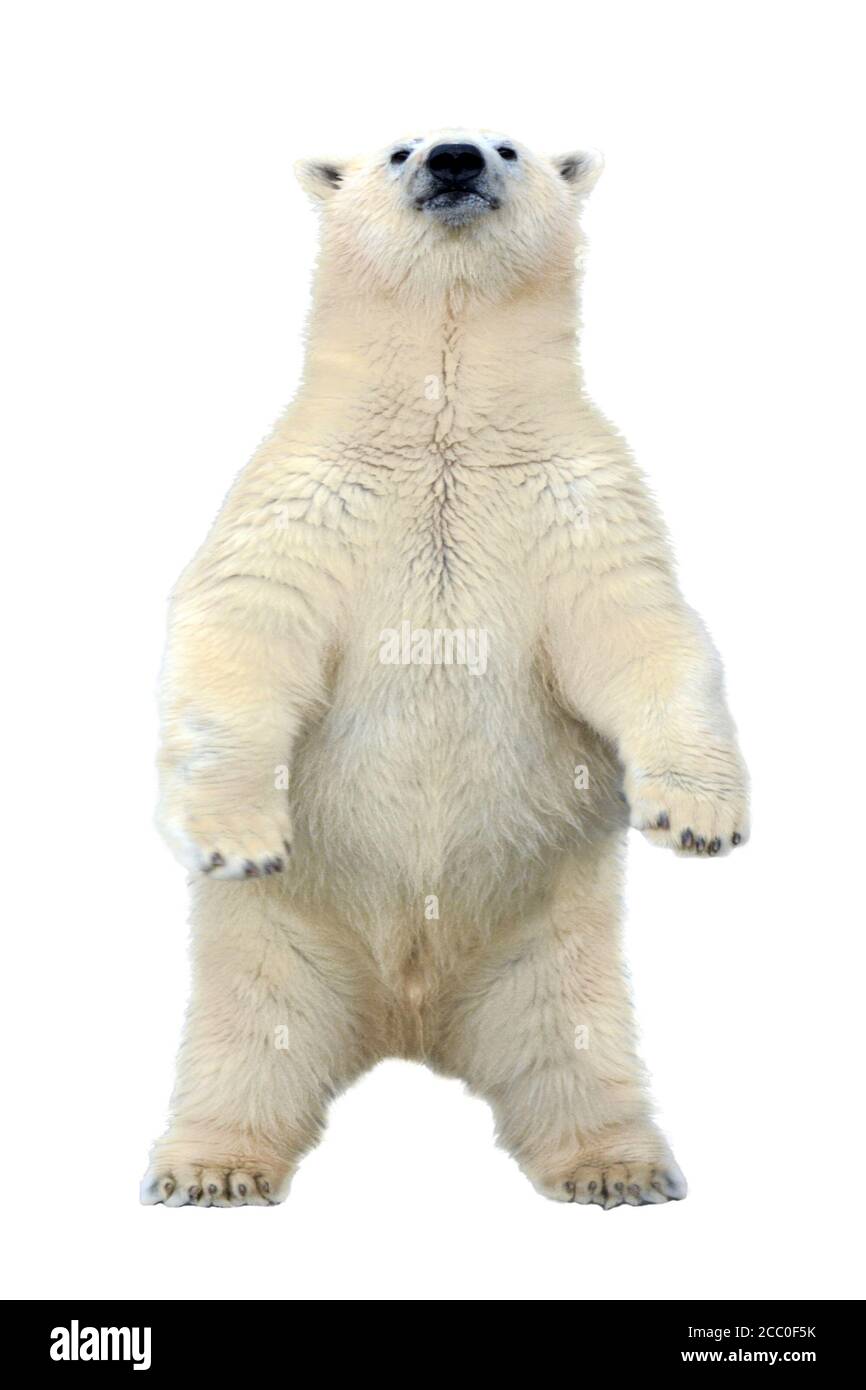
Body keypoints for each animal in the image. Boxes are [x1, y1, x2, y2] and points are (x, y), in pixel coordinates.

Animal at [142, 129, 749, 1209]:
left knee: (572, 1050)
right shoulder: (309, 492)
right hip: (282, 944)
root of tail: (408, 1019)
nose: (456, 158)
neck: (440, 426)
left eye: (508, 143)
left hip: (546, 947)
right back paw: (212, 1165)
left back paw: (619, 1165)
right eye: (398, 149)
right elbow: (243, 624)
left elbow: (641, 632)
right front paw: (238, 837)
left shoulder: (575, 497)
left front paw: (697, 817)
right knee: (250, 1037)